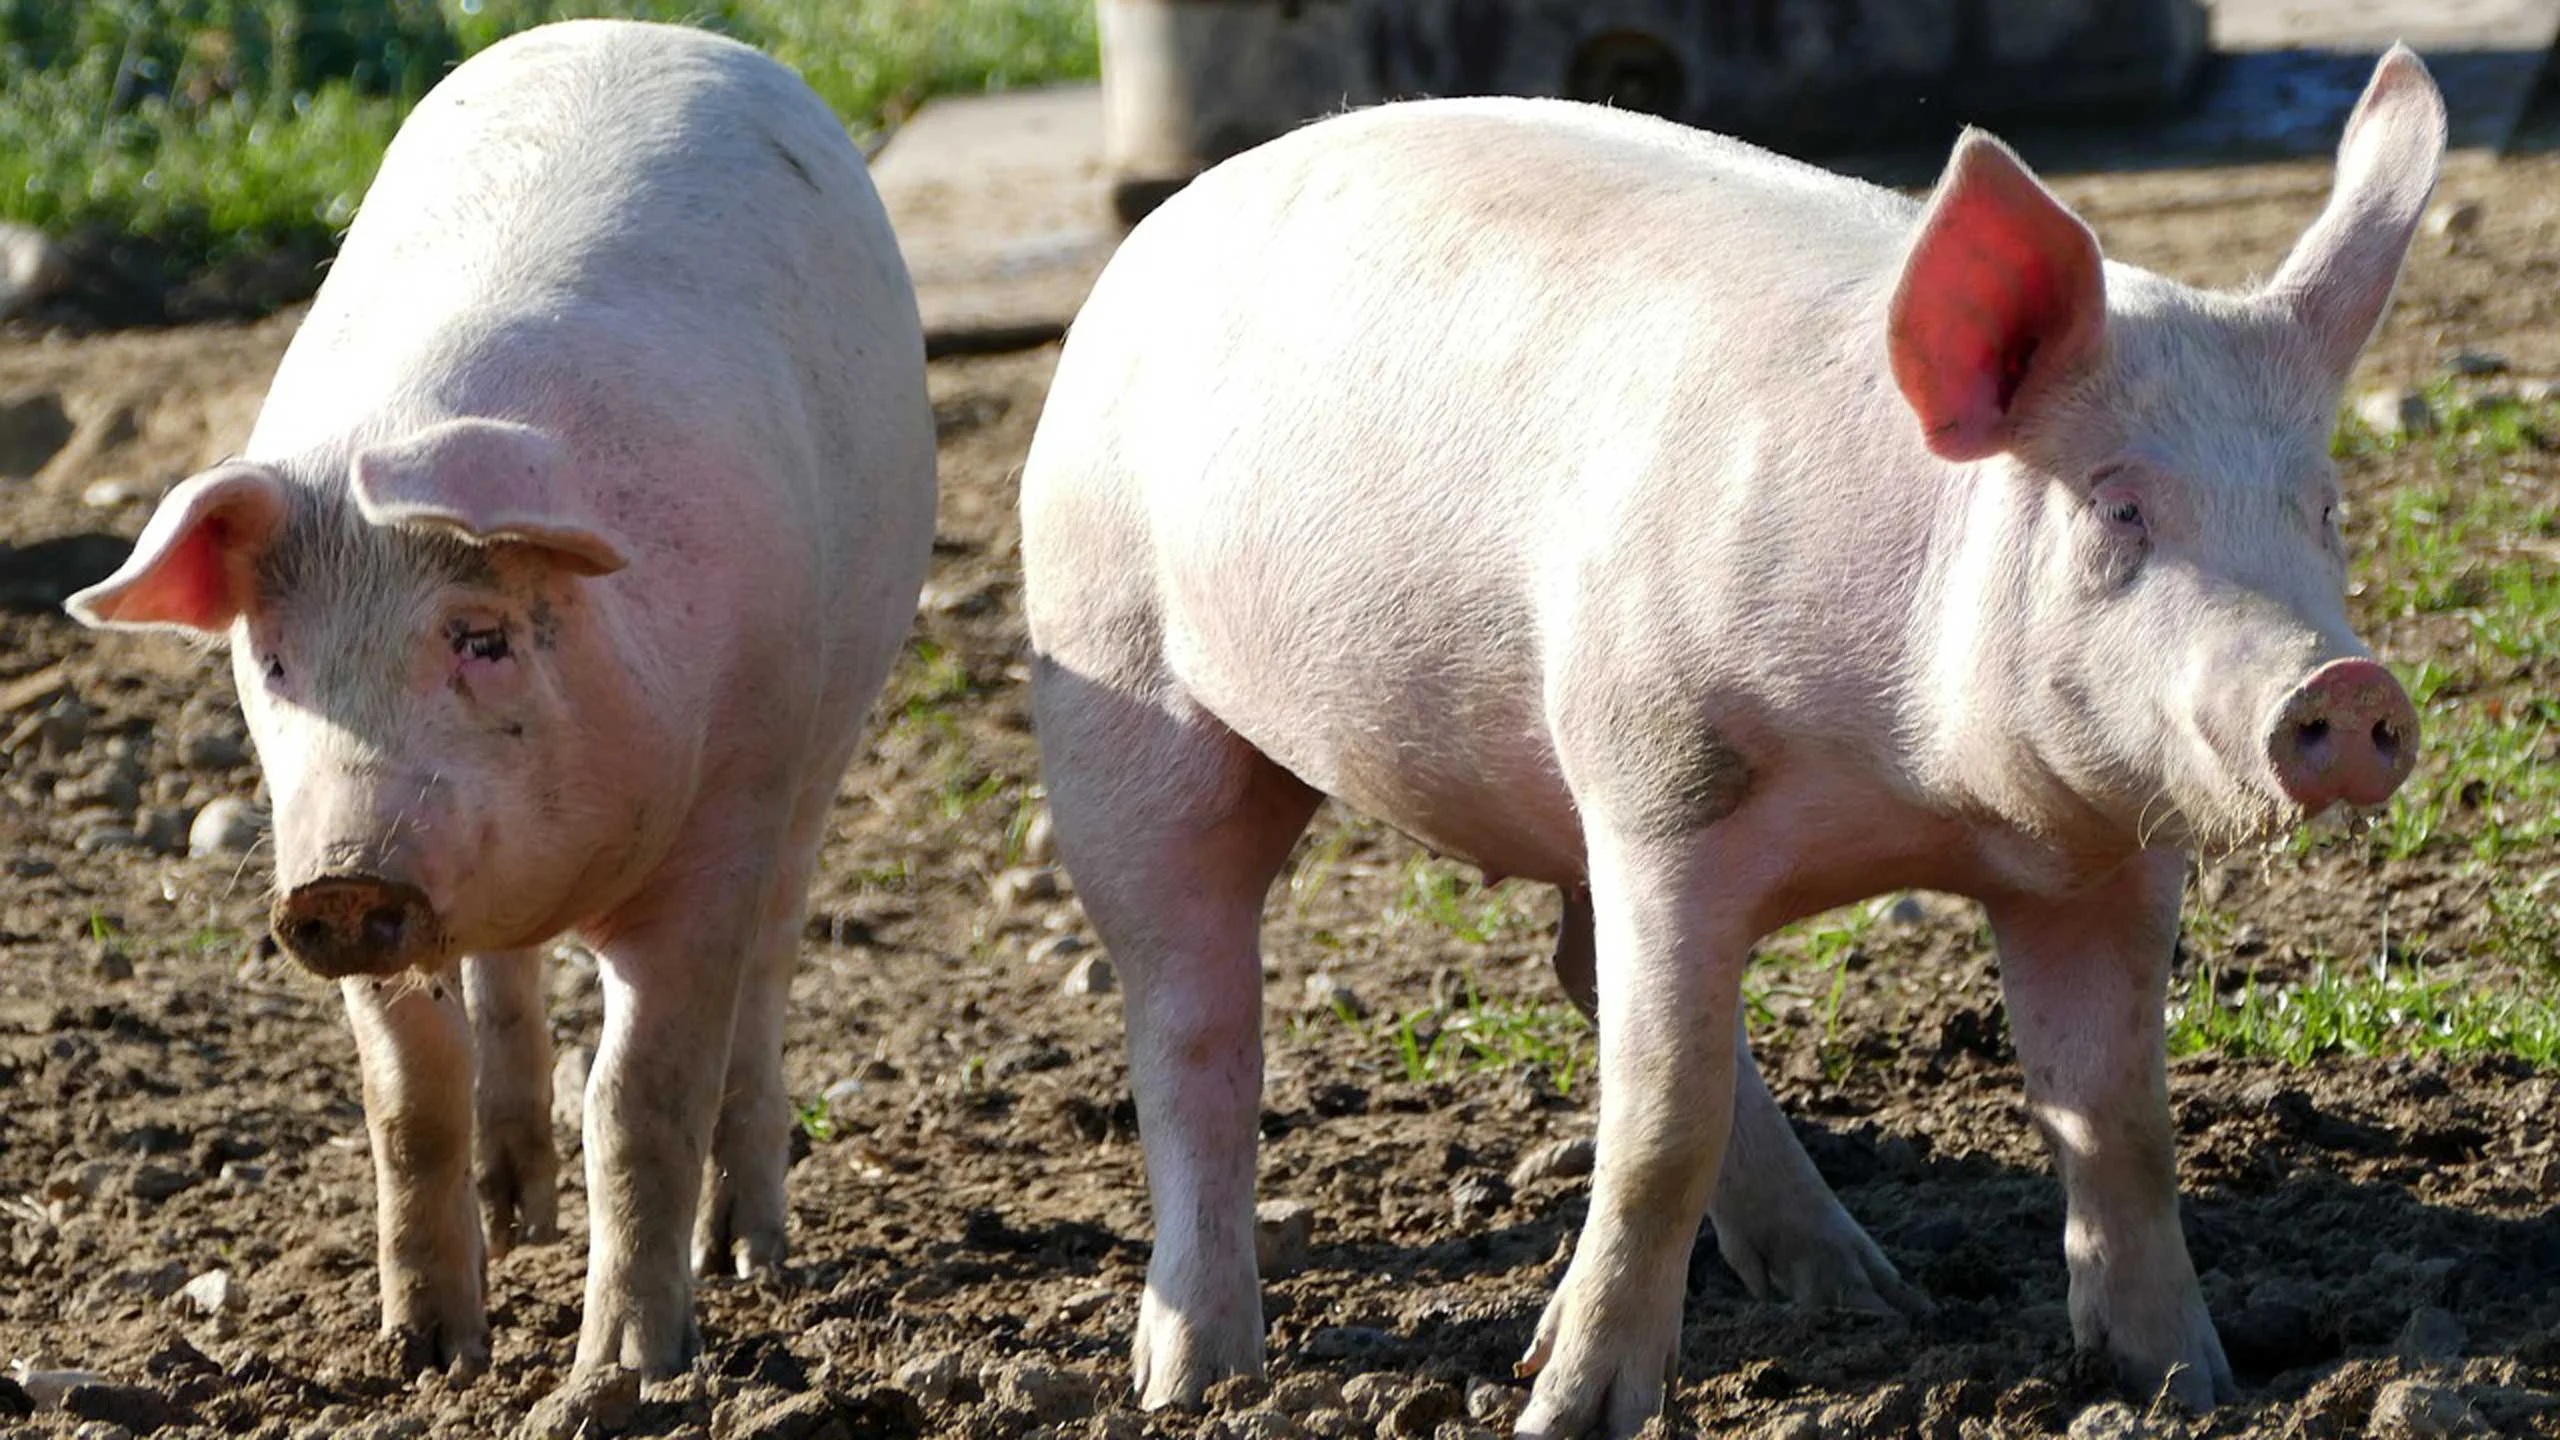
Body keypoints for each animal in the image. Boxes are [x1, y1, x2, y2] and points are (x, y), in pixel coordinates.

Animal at [66, 19, 935, 1402]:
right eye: (276, 661)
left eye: (481, 637)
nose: (339, 881)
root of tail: (657, 28)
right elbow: (410, 1095)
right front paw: (426, 1358)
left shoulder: (720, 818)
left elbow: (640, 1098)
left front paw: (628, 1378)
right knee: (506, 991)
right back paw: (515, 1209)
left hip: (829, 727)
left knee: (768, 973)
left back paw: (751, 1255)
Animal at [1021, 45, 2442, 1440]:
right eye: (2119, 509)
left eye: (2321, 508)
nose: (2344, 682)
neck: (1931, 800)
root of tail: (1168, 224)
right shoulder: (1661, 785)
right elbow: (1660, 1123)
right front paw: (1570, 1417)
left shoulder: (2108, 856)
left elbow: (2118, 1115)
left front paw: (2187, 1385)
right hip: (1113, 678)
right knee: (1193, 1021)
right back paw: (1198, 1380)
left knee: (1579, 964)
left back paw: (1869, 1296)